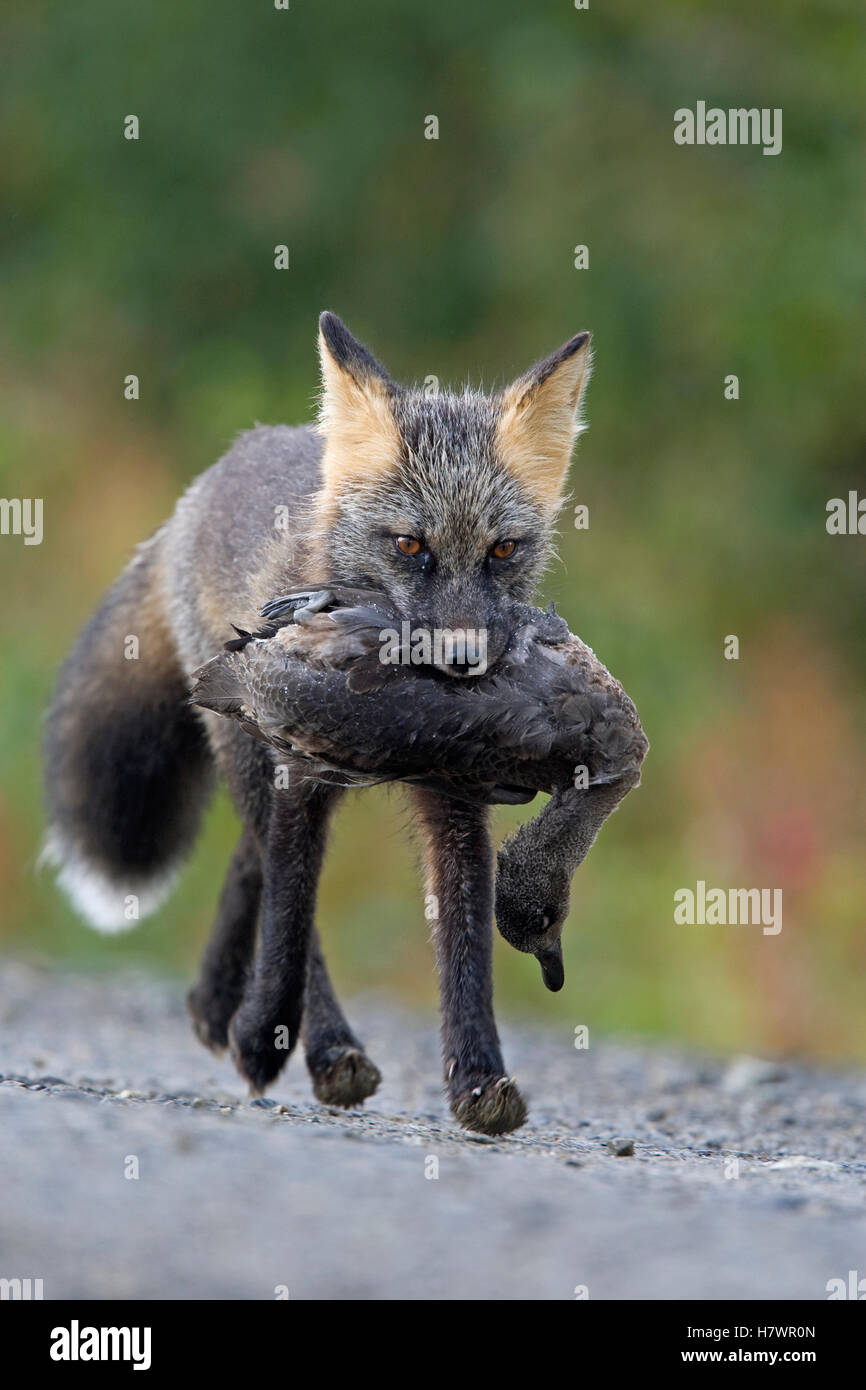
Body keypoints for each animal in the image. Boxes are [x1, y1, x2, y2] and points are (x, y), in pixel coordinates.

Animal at [43, 312, 595, 1136]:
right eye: (409, 545)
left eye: (502, 550)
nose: (464, 663)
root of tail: (219, 469)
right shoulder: (295, 778)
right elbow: (294, 913)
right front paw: (273, 1036)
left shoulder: (456, 800)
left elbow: (466, 940)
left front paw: (478, 1078)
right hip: (251, 752)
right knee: (269, 869)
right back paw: (305, 1040)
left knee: (249, 856)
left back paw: (214, 1003)